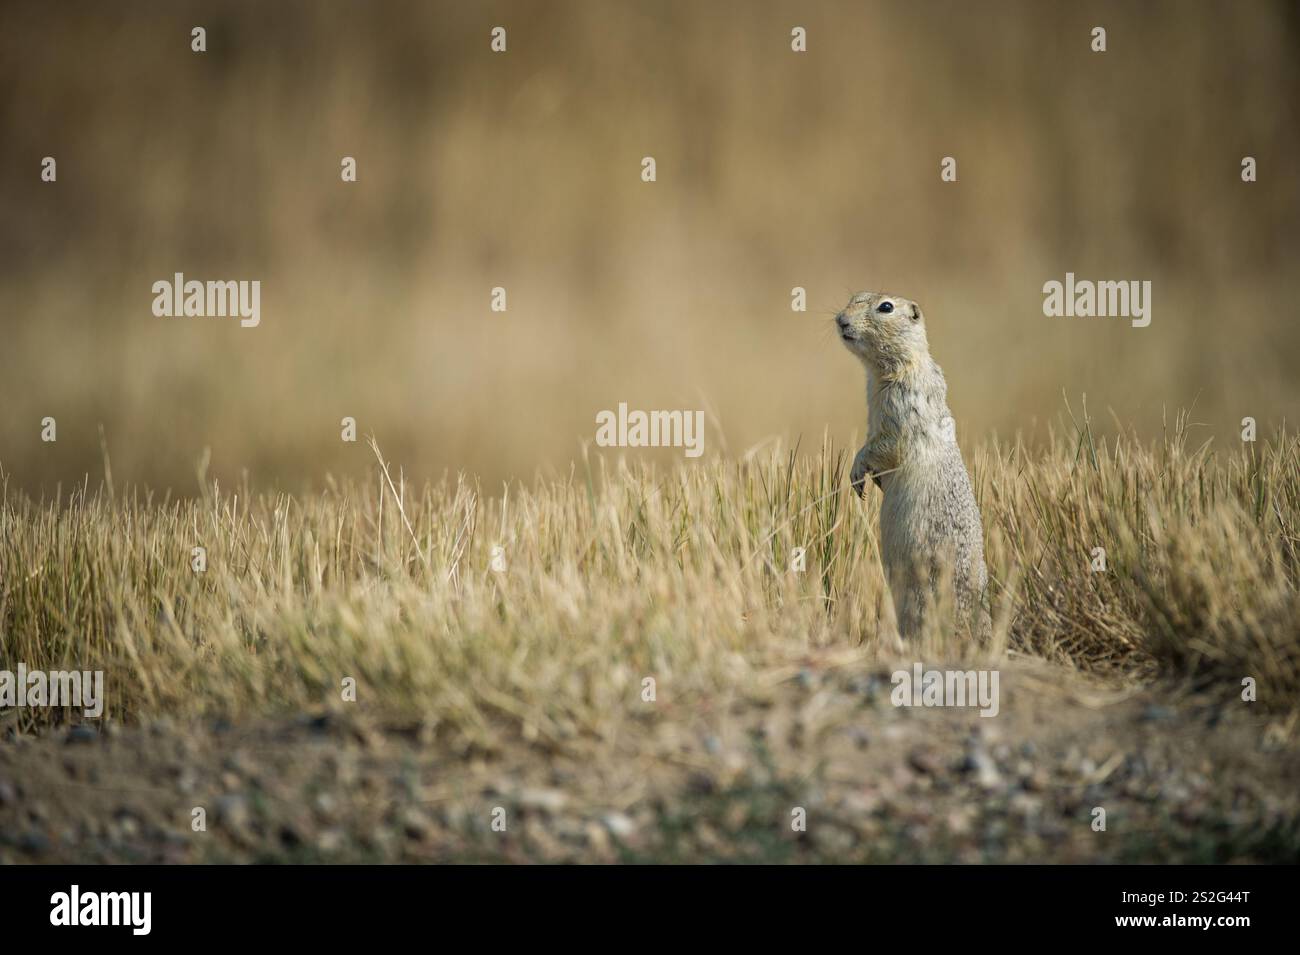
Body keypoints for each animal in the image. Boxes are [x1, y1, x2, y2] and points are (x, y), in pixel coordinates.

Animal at [836, 290, 991, 641]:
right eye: (855, 297)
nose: (840, 319)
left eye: (886, 307)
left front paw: (858, 473)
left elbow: (886, 447)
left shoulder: (901, 410)